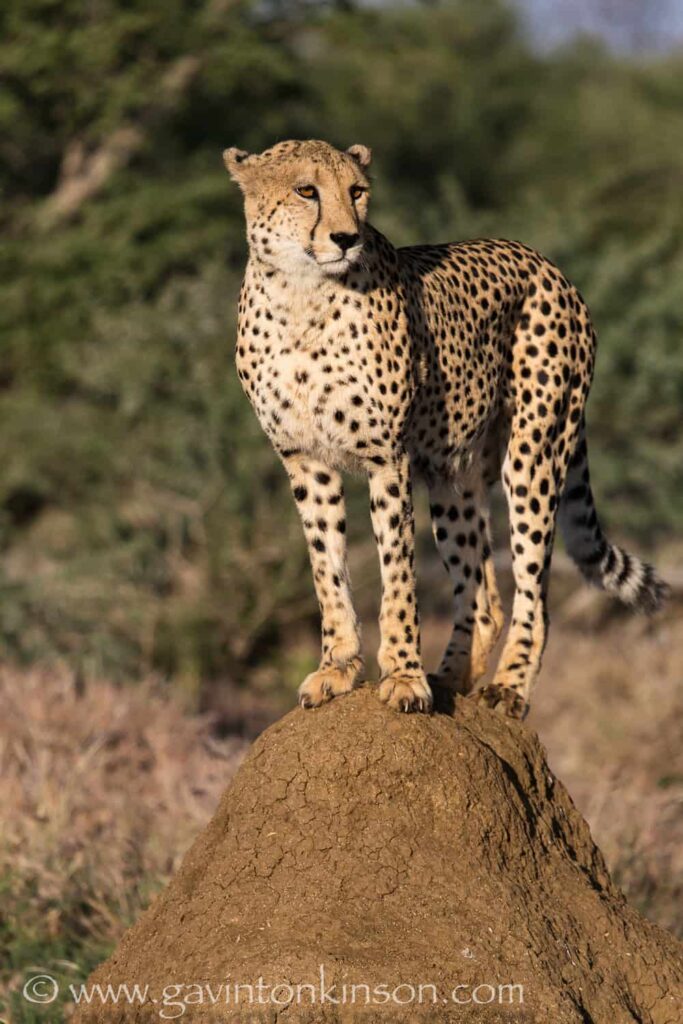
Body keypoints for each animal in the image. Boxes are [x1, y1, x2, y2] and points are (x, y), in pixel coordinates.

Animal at [224, 138, 667, 718]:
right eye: (305, 190)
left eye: (357, 191)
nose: (346, 238)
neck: (302, 295)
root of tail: (547, 263)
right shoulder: (307, 460)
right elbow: (327, 569)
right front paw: (338, 668)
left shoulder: (386, 457)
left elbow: (397, 573)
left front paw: (403, 676)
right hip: (453, 475)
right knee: (485, 599)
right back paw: (452, 677)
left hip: (533, 456)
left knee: (533, 592)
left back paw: (508, 687)